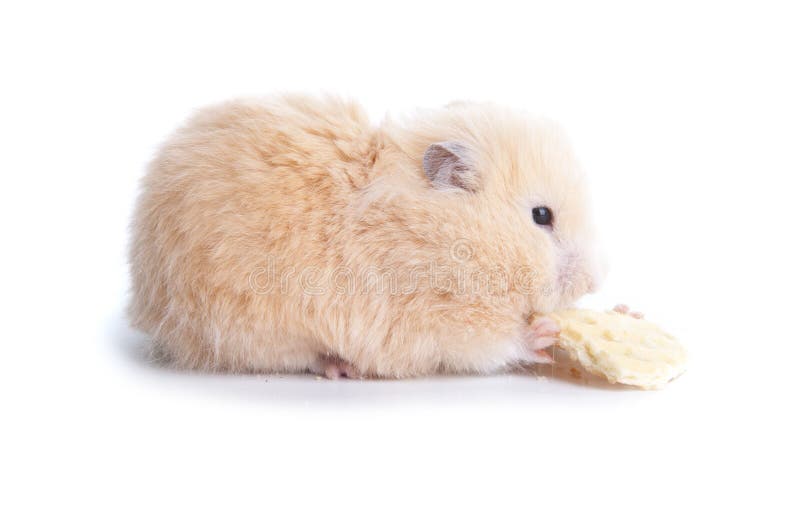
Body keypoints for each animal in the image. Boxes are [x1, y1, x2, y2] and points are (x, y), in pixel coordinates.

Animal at [128, 94, 604, 378]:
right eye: (541, 216)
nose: (593, 284)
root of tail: (144, 299)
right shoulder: (431, 321)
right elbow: (491, 343)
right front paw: (543, 334)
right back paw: (338, 366)